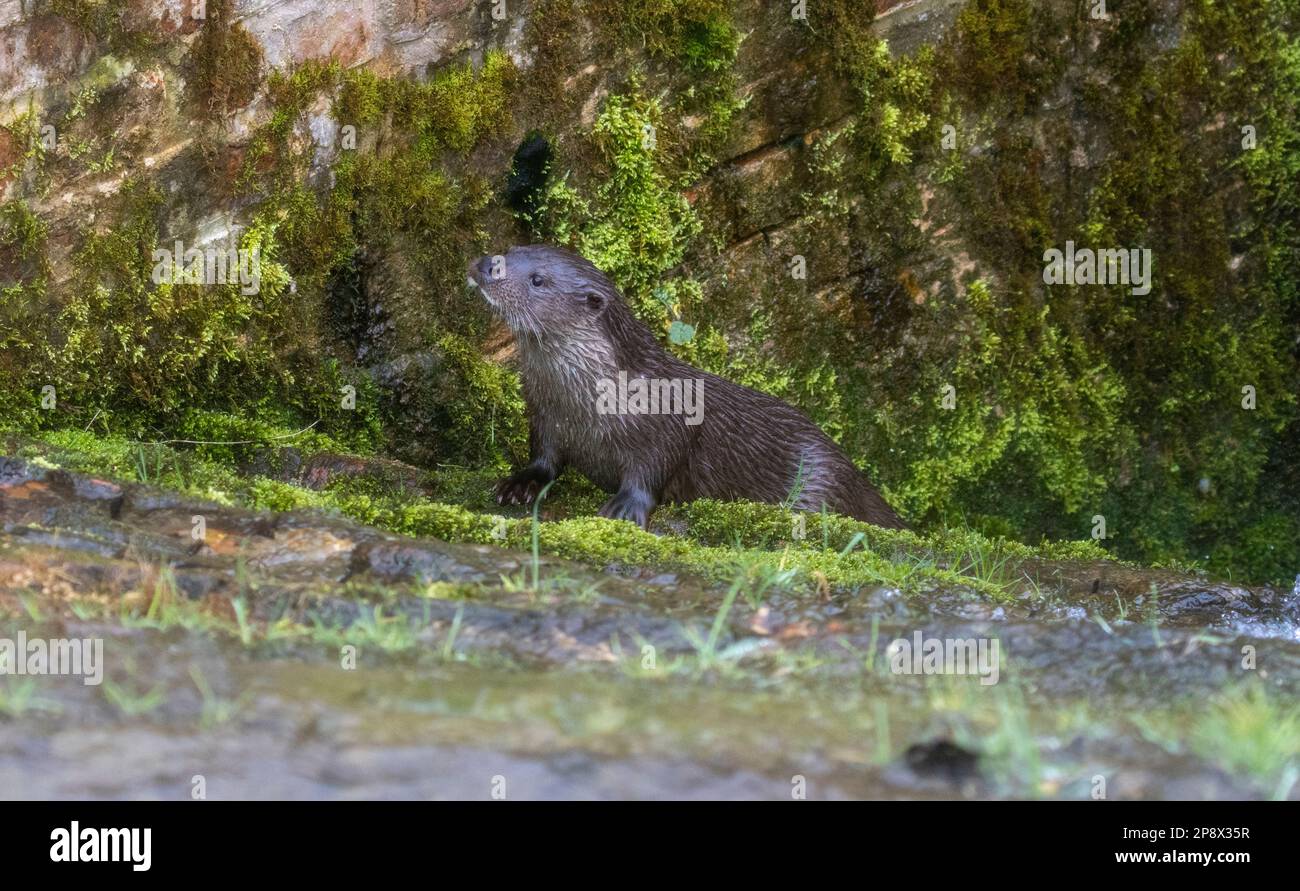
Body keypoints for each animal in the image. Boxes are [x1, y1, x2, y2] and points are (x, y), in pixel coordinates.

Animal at [466, 245, 905, 530]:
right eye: (510, 250)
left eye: (538, 280)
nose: (485, 265)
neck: (586, 400)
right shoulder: (543, 415)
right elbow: (544, 460)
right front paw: (519, 484)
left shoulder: (666, 426)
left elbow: (650, 472)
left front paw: (624, 508)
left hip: (820, 478)